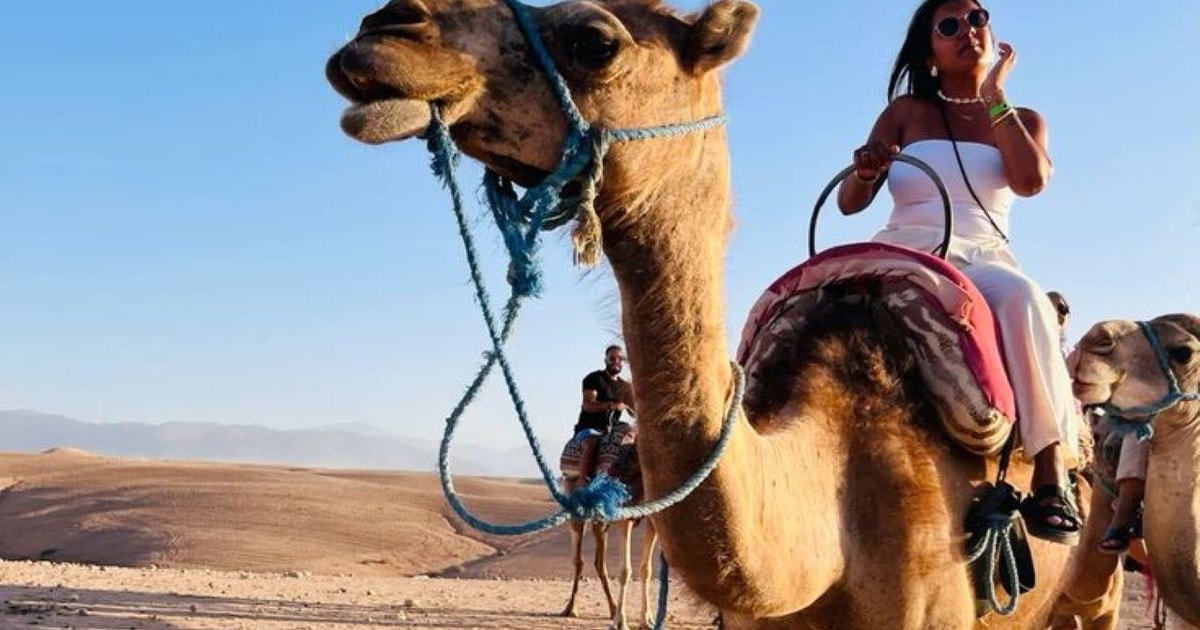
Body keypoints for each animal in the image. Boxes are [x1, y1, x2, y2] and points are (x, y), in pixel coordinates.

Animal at [559, 423, 659, 629]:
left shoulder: (652, 518)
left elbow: (646, 569)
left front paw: (647, 620)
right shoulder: (624, 518)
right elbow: (625, 571)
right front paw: (622, 622)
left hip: (601, 523)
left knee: (599, 562)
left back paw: (612, 609)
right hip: (575, 513)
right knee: (578, 560)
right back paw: (571, 609)